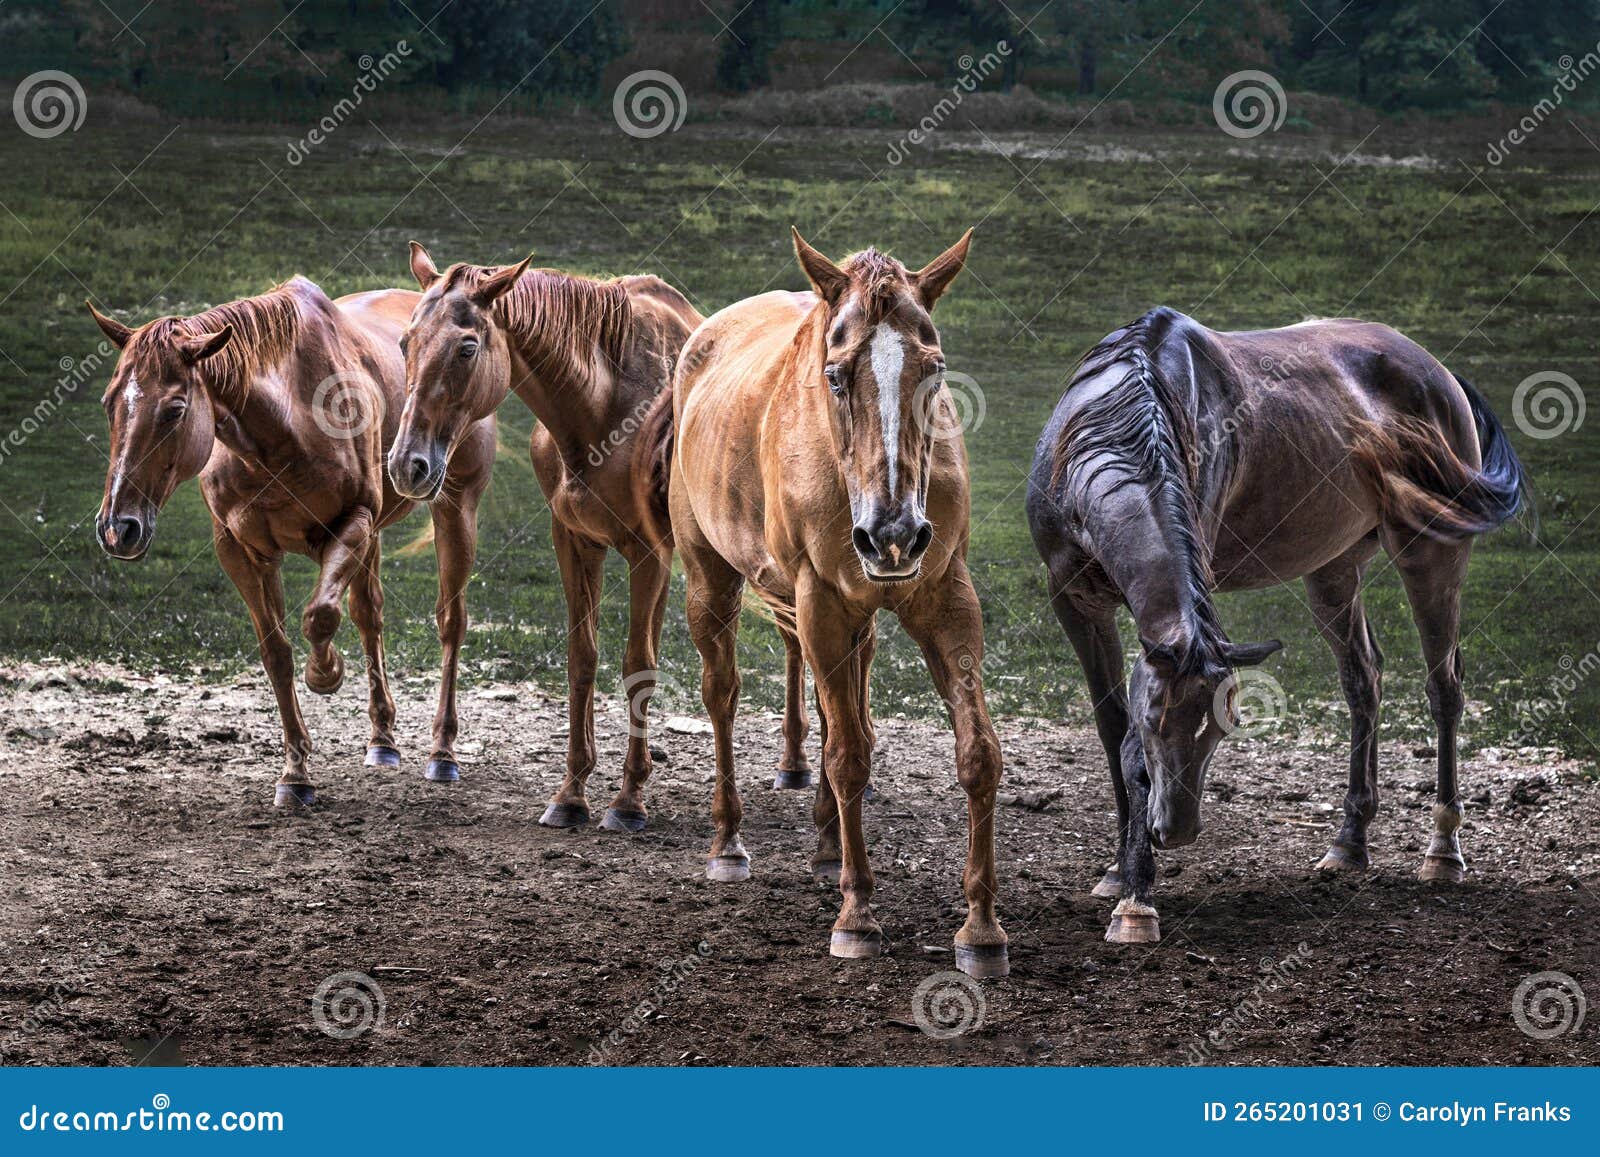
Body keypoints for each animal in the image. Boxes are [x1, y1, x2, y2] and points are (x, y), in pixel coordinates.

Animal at [88, 276, 495, 805]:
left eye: (175, 410)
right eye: (109, 402)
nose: (118, 528)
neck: (286, 425)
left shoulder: (352, 523)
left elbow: (319, 617)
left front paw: (326, 673)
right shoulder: (242, 550)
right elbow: (277, 652)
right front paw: (295, 773)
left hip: (454, 507)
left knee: (450, 621)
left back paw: (442, 751)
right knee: (369, 616)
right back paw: (381, 740)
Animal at [391, 245, 816, 832]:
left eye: (467, 347)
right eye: (405, 341)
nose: (407, 465)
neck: (601, 408)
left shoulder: (650, 553)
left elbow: (639, 664)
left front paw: (629, 798)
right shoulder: (574, 541)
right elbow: (582, 658)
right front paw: (571, 792)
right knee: (796, 635)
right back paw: (794, 764)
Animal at [669, 228, 1009, 978]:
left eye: (934, 370)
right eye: (834, 375)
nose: (893, 534)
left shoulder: (946, 597)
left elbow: (976, 752)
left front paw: (981, 926)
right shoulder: (820, 600)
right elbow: (849, 755)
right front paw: (857, 916)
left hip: (856, 620)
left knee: (835, 713)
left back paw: (827, 844)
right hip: (711, 580)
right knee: (723, 696)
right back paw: (728, 842)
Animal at [1026, 307, 1529, 943]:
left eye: (1224, 729)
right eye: (1157, 721)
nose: (1178, 830)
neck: (1111, 427)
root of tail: (1437, 373)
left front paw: (1137, 903)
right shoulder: (1074, 601)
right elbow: (1112, 728)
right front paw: (1120, 872)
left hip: (1431, 550)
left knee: (1445, 688)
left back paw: (1442, 851)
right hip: (1334, 568)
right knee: (1364, 679)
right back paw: (1350, 843)